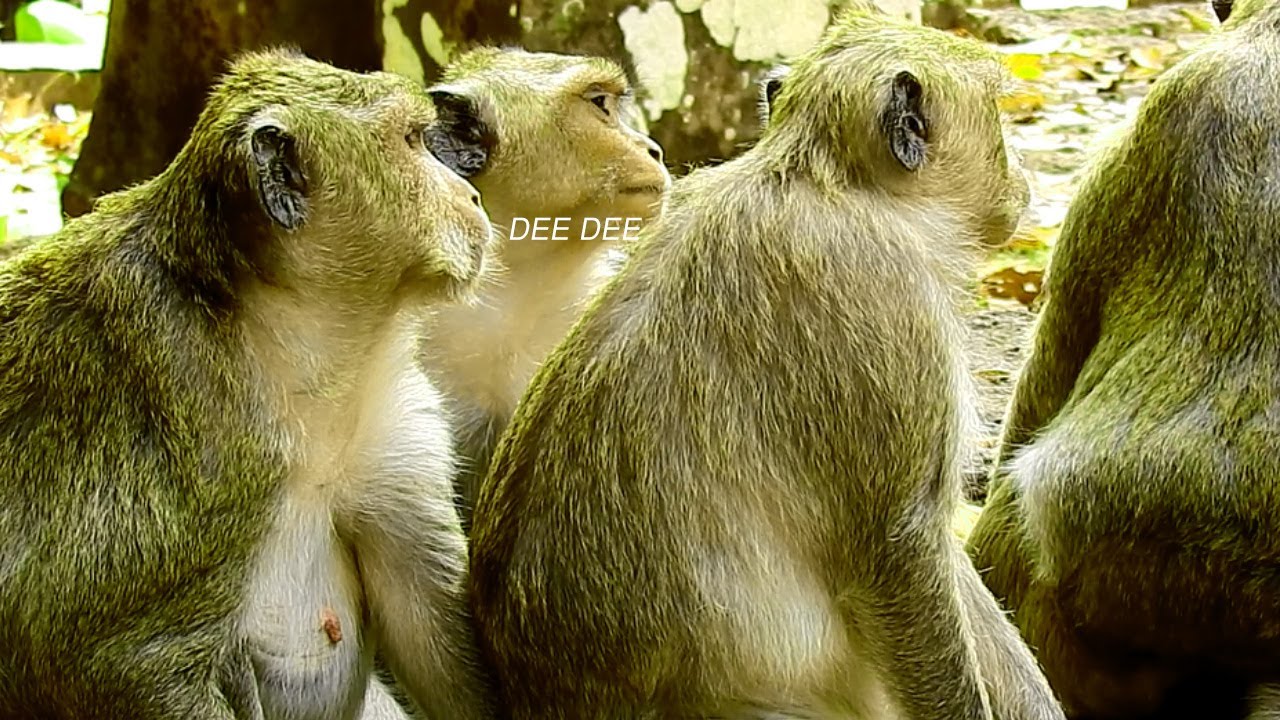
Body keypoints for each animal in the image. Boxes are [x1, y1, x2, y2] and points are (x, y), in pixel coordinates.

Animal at [0, 49, 496, 720]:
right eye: (413, 142)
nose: (471, 195)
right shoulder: (192, 417)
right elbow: (114, 657)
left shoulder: (389, 423)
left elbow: (433, 638)